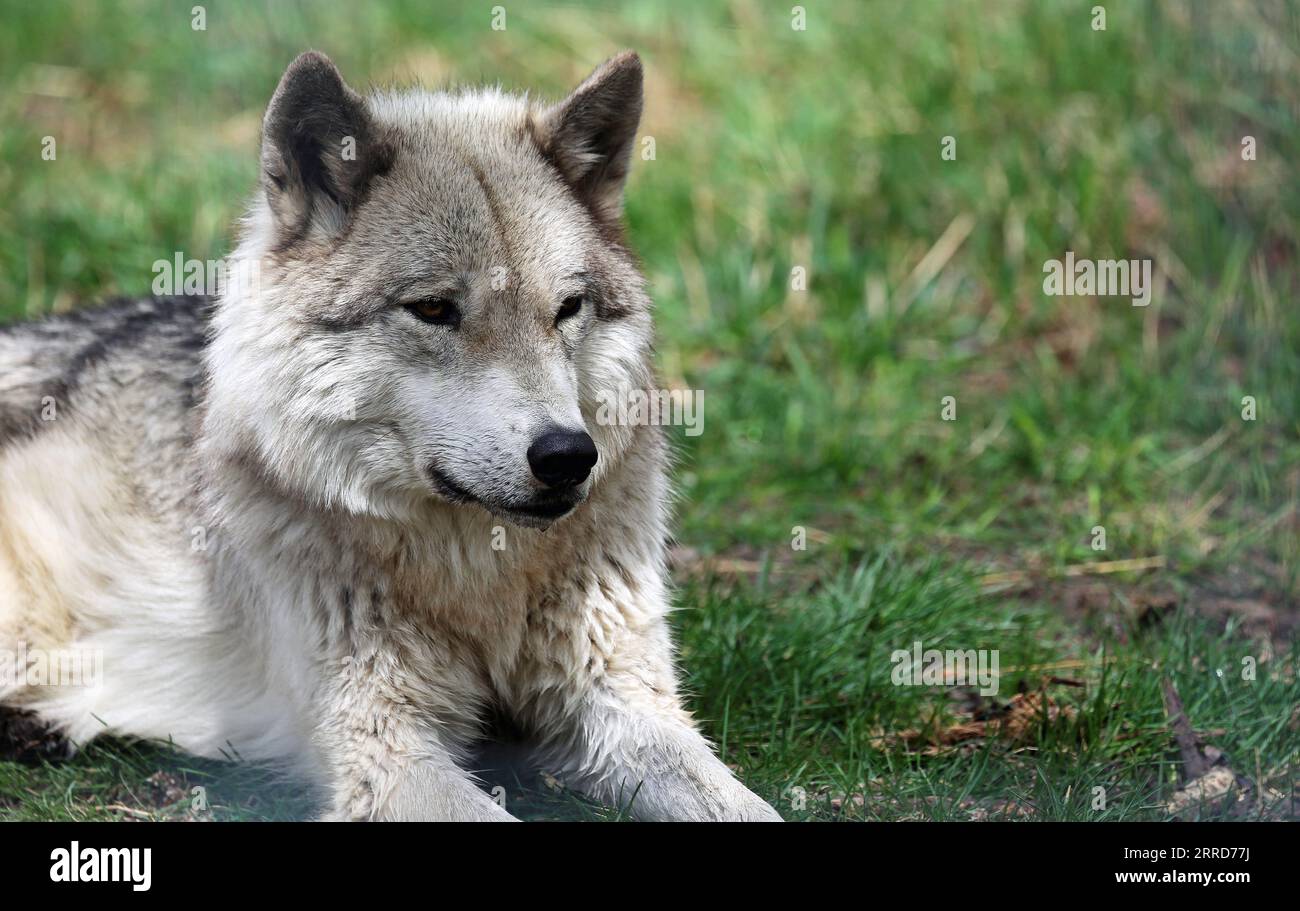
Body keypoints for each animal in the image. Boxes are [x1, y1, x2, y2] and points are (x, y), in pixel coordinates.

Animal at [0, 51, 781, 821]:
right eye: (433, 309)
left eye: (568, 309)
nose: (568, 456)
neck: (480, 576)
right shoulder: (386, 751)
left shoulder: (621, 701)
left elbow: (747, 805)